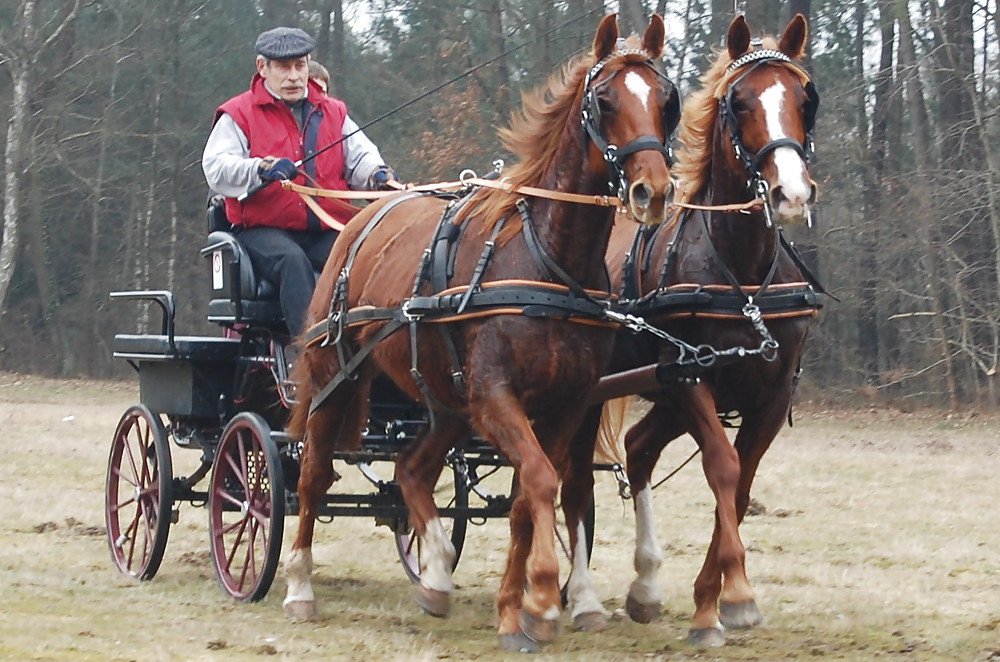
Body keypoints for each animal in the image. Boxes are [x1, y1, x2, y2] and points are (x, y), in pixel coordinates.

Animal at [282, 14, 679, 653]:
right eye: (604, 100)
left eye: (666, 101)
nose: (654, 191)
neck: (547, 260)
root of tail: (363, 217)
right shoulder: (496, 398)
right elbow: (539, 481)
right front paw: (541, 598)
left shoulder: (565, 405)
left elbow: (529, 498)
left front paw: (516, 611)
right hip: (332, 377)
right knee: (313, 474)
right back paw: (299, 585)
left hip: (446, 400)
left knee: (412, 467)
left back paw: (438, 574)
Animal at [566, 13, 823, 647]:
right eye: (740, 102)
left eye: (804, 101)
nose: (790, 193)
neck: (741, 274)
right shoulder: (689, 381)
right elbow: (722, 469)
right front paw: (727, 601)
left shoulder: (766, 396)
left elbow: (742, 482)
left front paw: (719, 597)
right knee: (574, 478)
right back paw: (582, 596)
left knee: (637, 448)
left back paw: (645, 585)